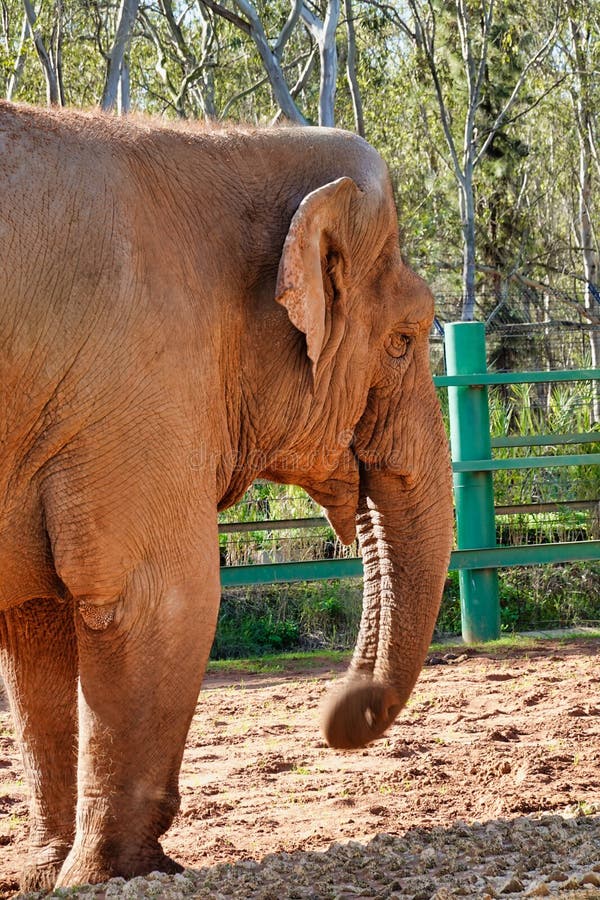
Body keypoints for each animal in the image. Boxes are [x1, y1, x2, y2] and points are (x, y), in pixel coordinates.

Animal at [0, 100, 453, 890]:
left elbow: (37, 621)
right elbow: (160, 595)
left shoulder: (63, 414)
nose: (337, 706)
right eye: (404, 339)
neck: (228, 146)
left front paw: (49, 875)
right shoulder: (142, 379)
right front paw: (116, 877)